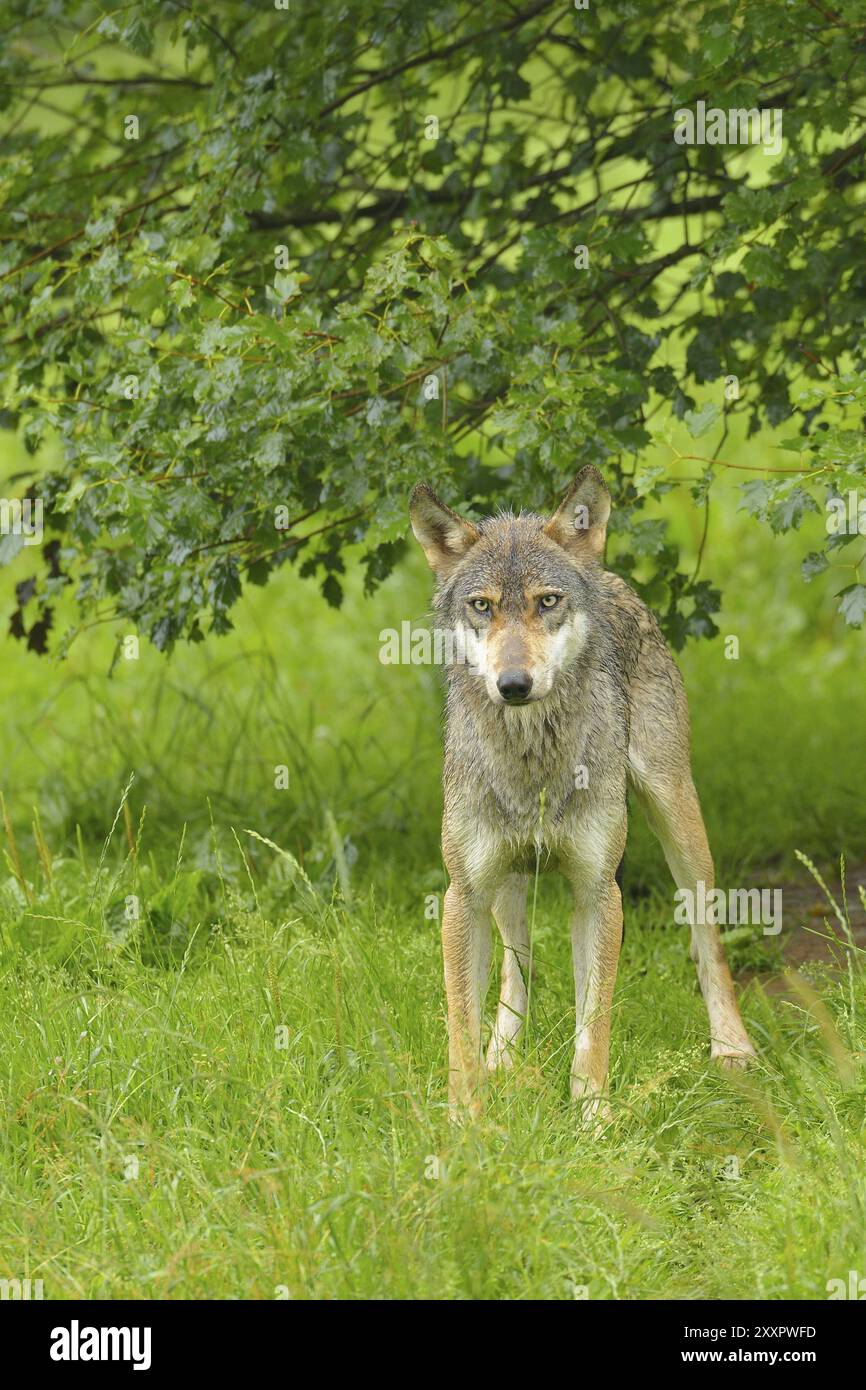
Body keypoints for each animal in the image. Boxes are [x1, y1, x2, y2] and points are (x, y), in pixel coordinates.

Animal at [409, 466, 755, 1123]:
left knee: (709, 942)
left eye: (548, 601)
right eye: (482, 606)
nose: (513, 684)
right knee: (516, 963)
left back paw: (733, 1048)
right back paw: (504, 1055)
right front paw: (466, 1120)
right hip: (506, 880)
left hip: (678, 821)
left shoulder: (599, 892)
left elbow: (594, 1025)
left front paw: (593, 1119)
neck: (533, 766)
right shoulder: (463, 894)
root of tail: (609, 576)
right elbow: (460, 1025)